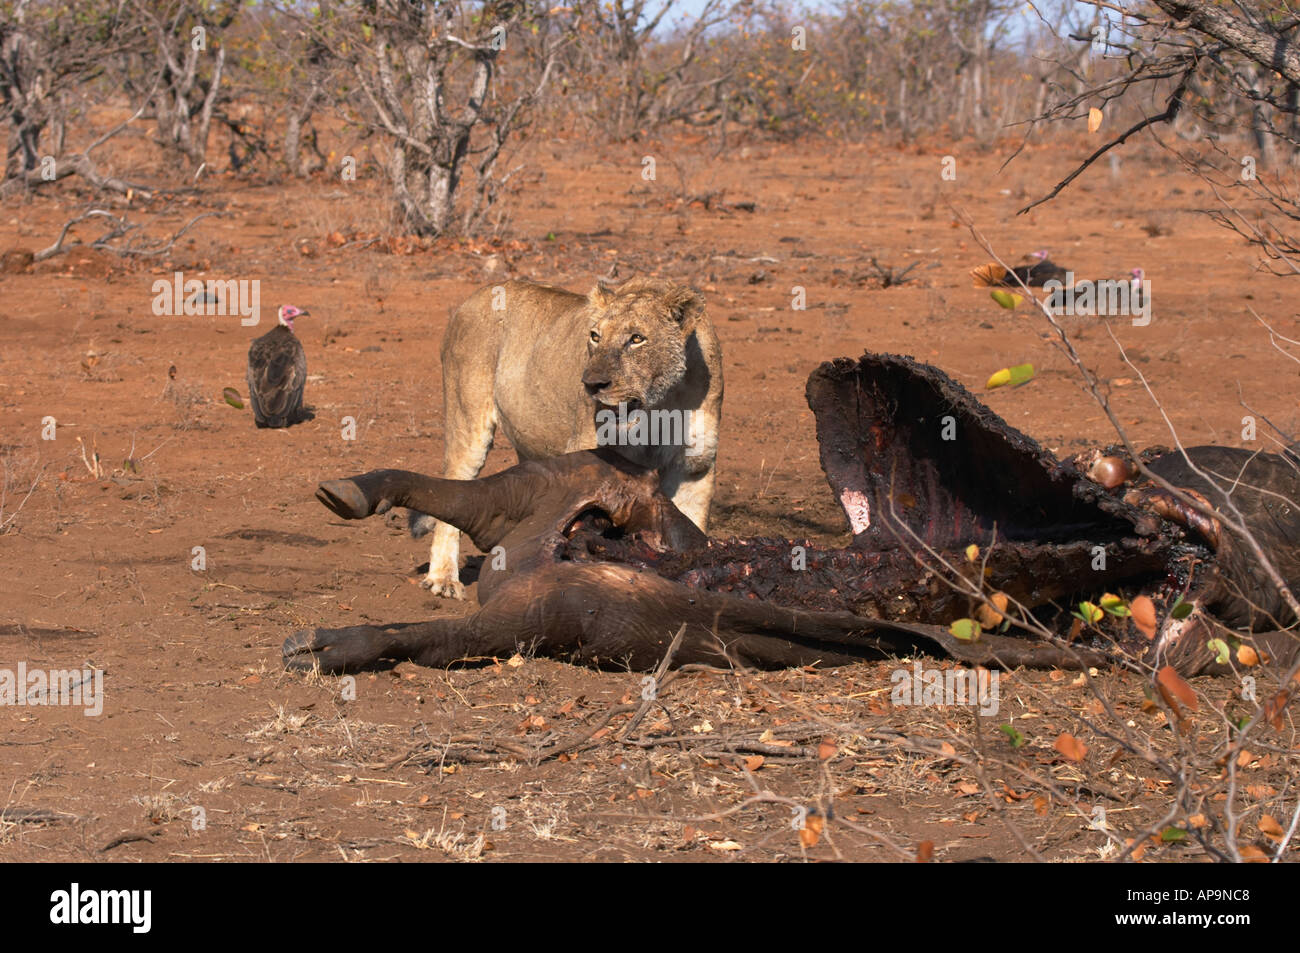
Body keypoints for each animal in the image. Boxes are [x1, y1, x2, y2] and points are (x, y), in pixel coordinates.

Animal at [410, 275, 724, 597]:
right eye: (595, 336)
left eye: (637, 338)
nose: (592, 383)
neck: (658, 404)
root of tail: (474, 297)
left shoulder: (693, 467)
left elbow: (691, 527)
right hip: (467, 420)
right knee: (454, 488)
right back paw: (443, 578)